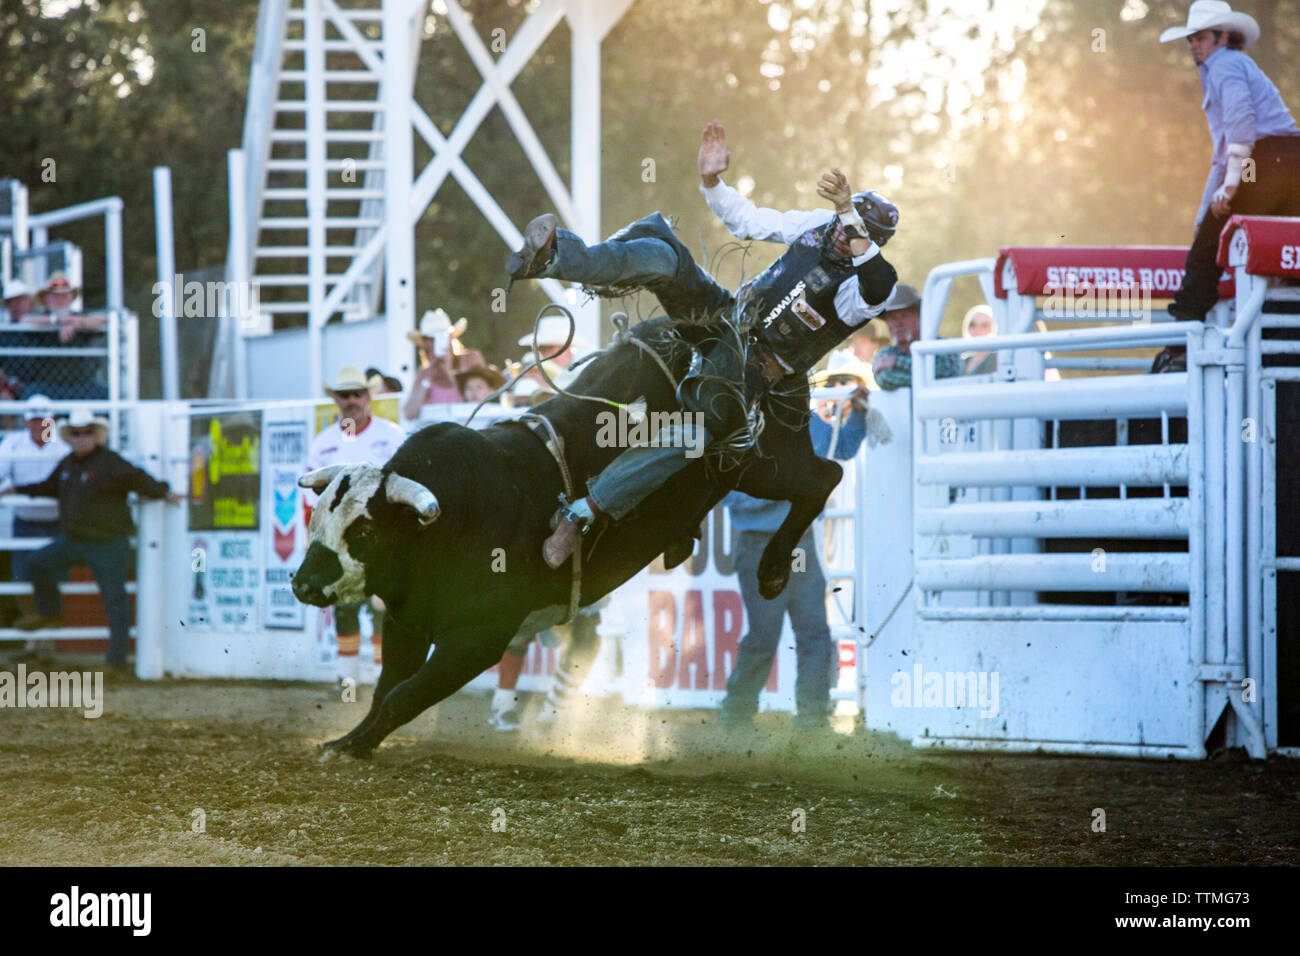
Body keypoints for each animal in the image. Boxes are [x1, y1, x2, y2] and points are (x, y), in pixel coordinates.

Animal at [292, 315, 844, 758]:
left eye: (365, 529)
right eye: (316, 519)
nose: (302, 583)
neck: (453, 515)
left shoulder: (479, 638)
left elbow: (404, 694)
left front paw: (356, 746)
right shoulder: (406, 619)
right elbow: (386, 688)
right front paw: (347, 741)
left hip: (759, 461)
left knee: (825, 477)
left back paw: (773, 569)